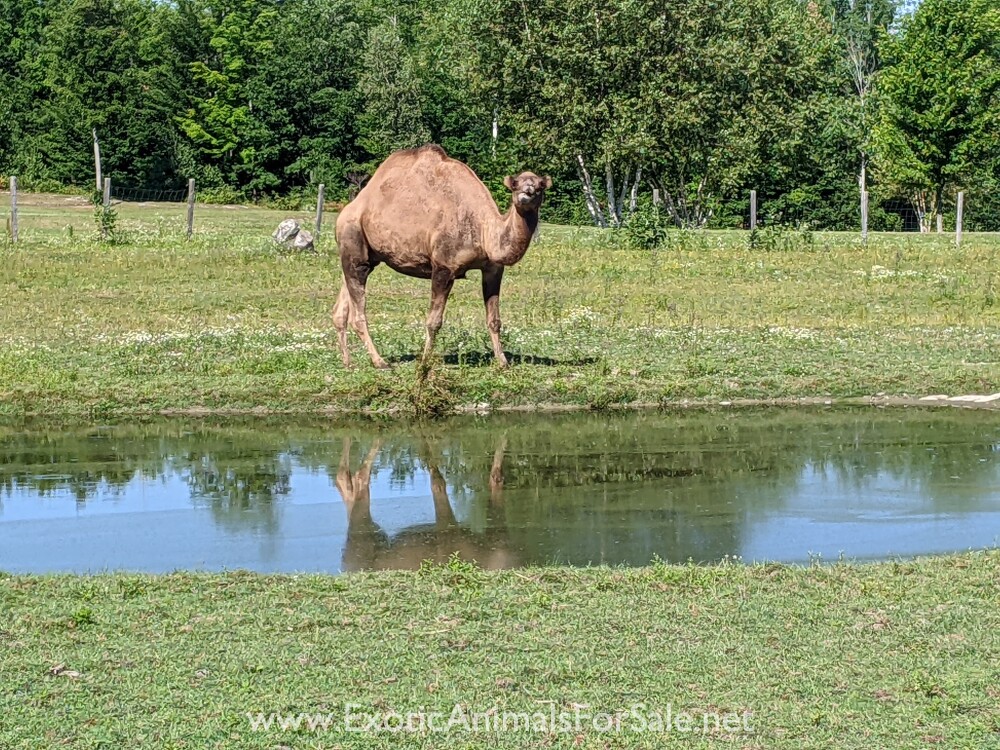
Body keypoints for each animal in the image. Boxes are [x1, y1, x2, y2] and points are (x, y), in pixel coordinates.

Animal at [333, 144, 551, 368]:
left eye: (540, 186)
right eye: (515, 185)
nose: (526, 193)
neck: (483, 230)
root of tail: (347, 210)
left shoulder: (493, 269)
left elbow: (494, 320)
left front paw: (503, 362)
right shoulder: (444, 267)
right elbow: (434, 321)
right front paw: (424, 362)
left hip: (365, 256)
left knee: (341, 306)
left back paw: (347, 361)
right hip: (353, 237)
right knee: (358, 312)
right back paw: (380, 362)